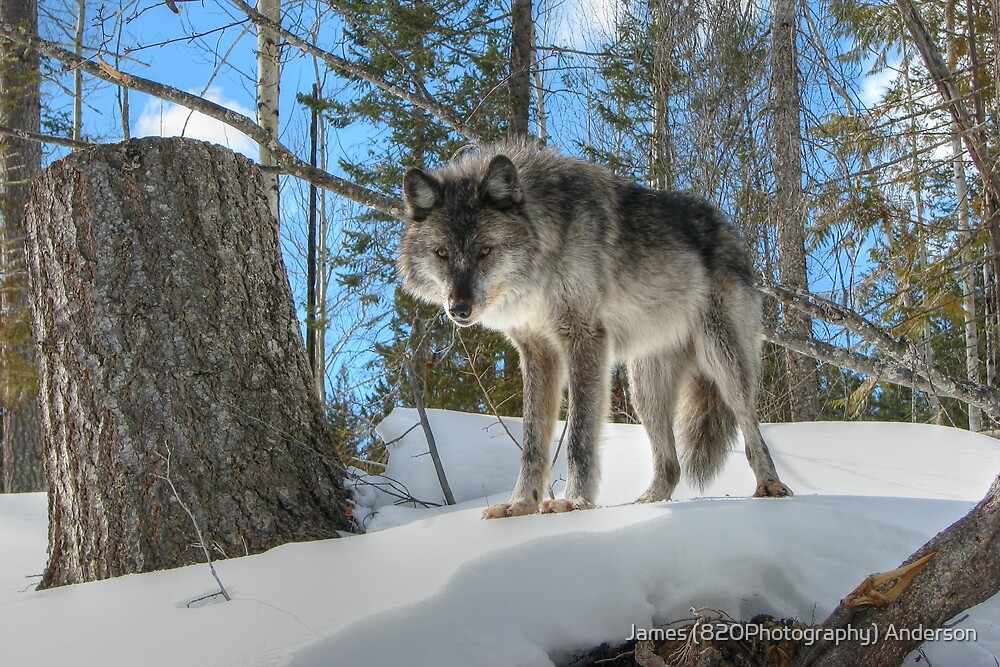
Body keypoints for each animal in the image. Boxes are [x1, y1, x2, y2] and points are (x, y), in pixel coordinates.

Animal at [398, 140, 792, 519]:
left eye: (485, 250)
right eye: (441, 253)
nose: (458, 309)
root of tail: (730, 231)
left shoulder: (584, 339)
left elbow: (580, 435)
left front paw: (574, 502)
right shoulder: (536, 352)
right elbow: (532, 443)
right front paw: (521, 505)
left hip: (723, 362)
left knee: (751, 430)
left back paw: (771, 486)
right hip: (644, 390)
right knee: (671, 464)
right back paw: (647, 502)